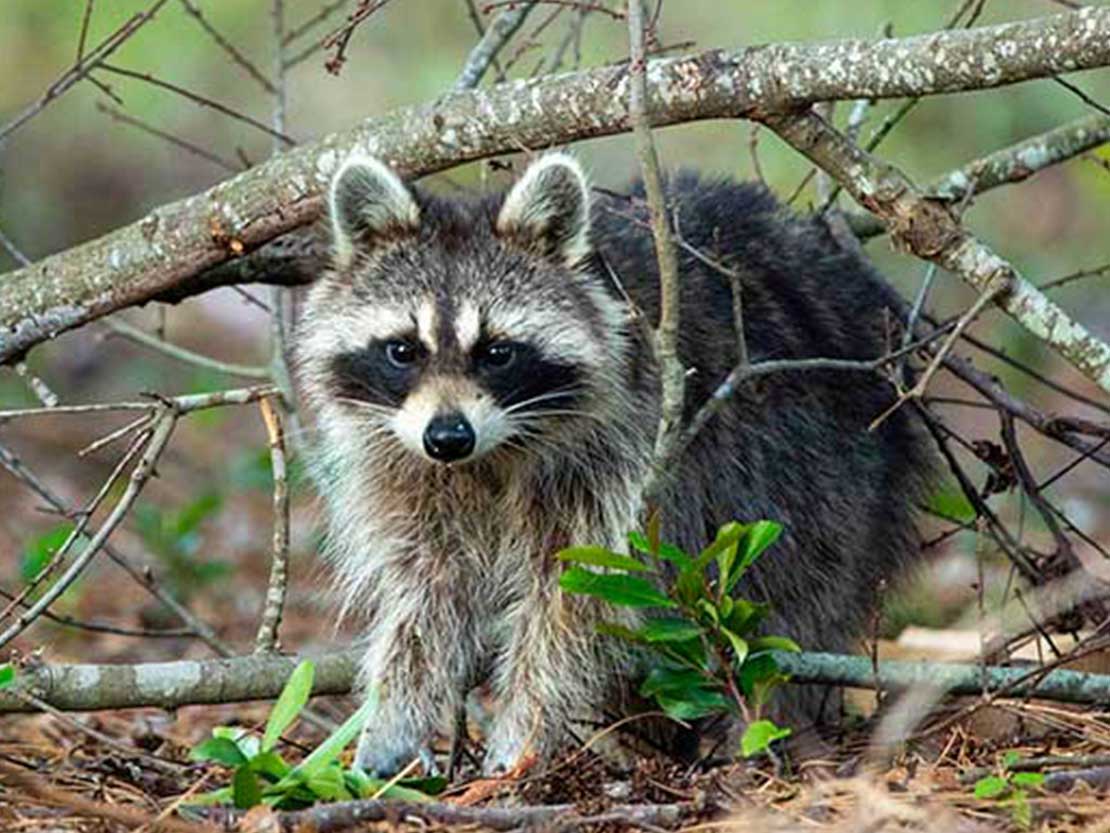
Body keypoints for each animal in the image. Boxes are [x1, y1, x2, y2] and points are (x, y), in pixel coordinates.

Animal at [295, 152, 933, 776]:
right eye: (403, 350)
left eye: (498, 353)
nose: (447, 437)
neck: (491, 455)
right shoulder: (404, 467)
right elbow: (425, 587)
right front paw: (396, 712)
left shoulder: (622, 457)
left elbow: (574, 599)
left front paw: (524, 727)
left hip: (824, 475)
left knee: (798, 596)